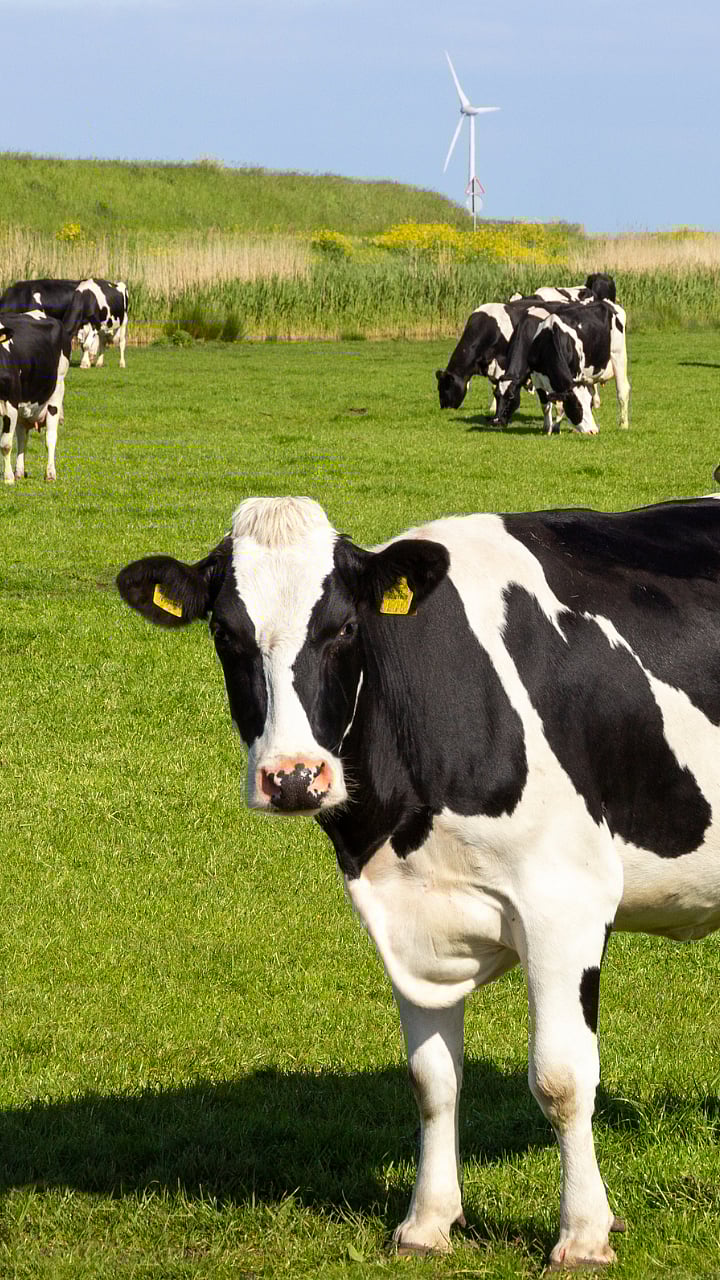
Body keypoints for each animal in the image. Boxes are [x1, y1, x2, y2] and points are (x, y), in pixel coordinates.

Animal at [0, 311, 70, 483]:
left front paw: (8, 478)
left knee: (50, 438)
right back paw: (19, 472)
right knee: (22, 438)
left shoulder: (10, 404)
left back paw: (50, 474)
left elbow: (5, 444)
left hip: (56, 393)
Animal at [116, 490, 720, 1269]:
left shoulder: (566, 901)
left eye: (344, 627)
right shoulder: (405, 910)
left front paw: (583, 1235)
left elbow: (561, 1076)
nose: (293, 777)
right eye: (226, 633)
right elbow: (432, 1078)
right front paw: (428, 1222)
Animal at [526, 301, 630, 435]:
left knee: (623, 391)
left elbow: (560, 407)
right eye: (576, 406)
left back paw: (623, 424)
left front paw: (557, 428)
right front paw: (547, 429)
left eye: (589, 405)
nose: (593, 431)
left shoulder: (575, 375)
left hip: (618, 355)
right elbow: (546, 406)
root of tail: (607, 303)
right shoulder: (536, 379)